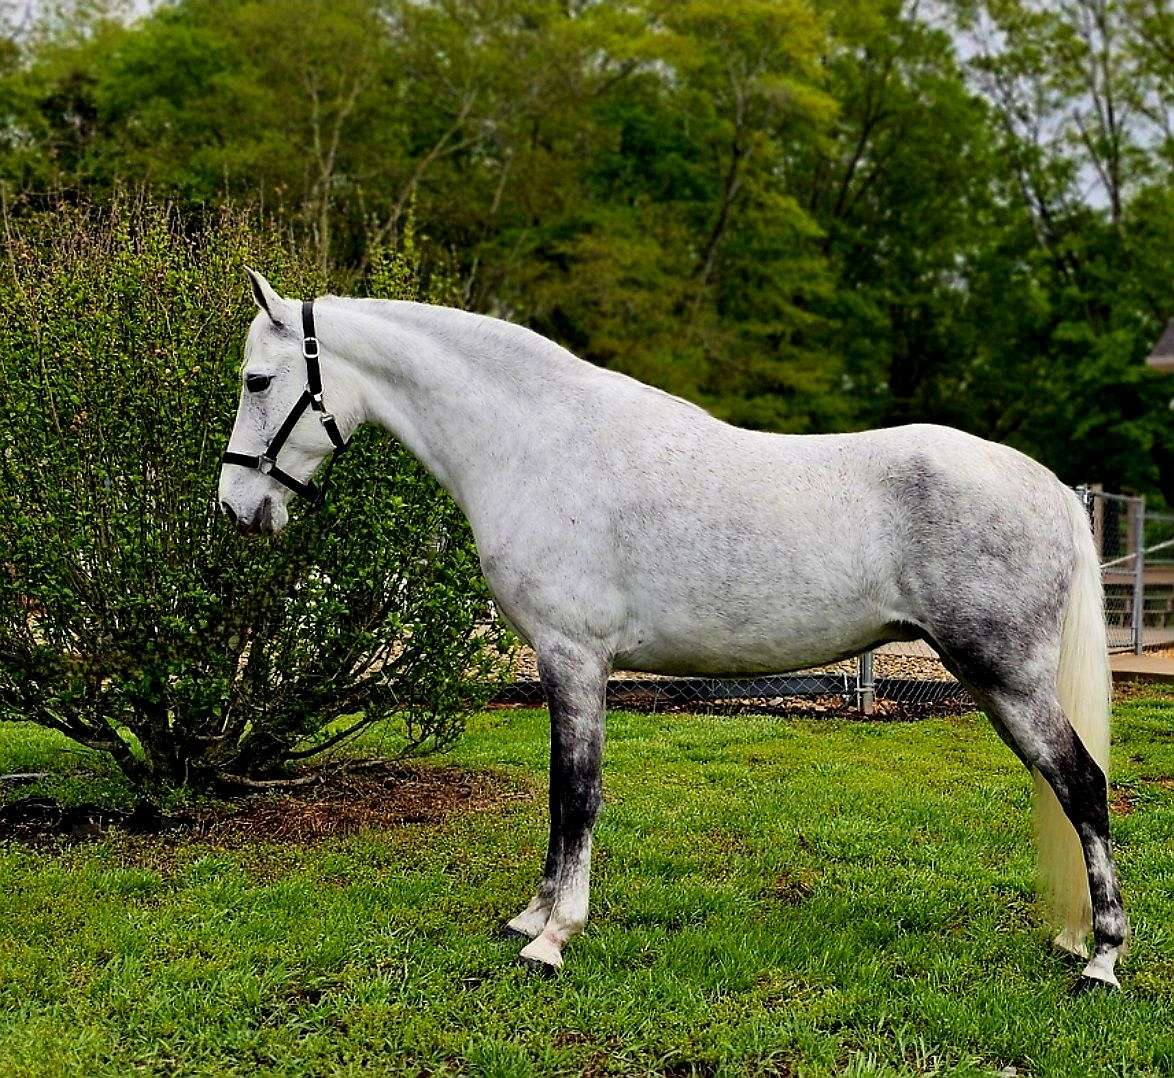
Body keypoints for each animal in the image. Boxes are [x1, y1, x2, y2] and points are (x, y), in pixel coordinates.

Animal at [218, 269, 1127, 990]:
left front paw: (554, 938)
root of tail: (1046, 484)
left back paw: (1103, 960)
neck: (536, 444)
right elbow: (560, 796)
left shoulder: (575, 658)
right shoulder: (561, 663)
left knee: (1083, 785)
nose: (237, 509)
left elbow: (577, 794)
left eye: (258, 381)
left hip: (1008, 677)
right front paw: (531, 915)